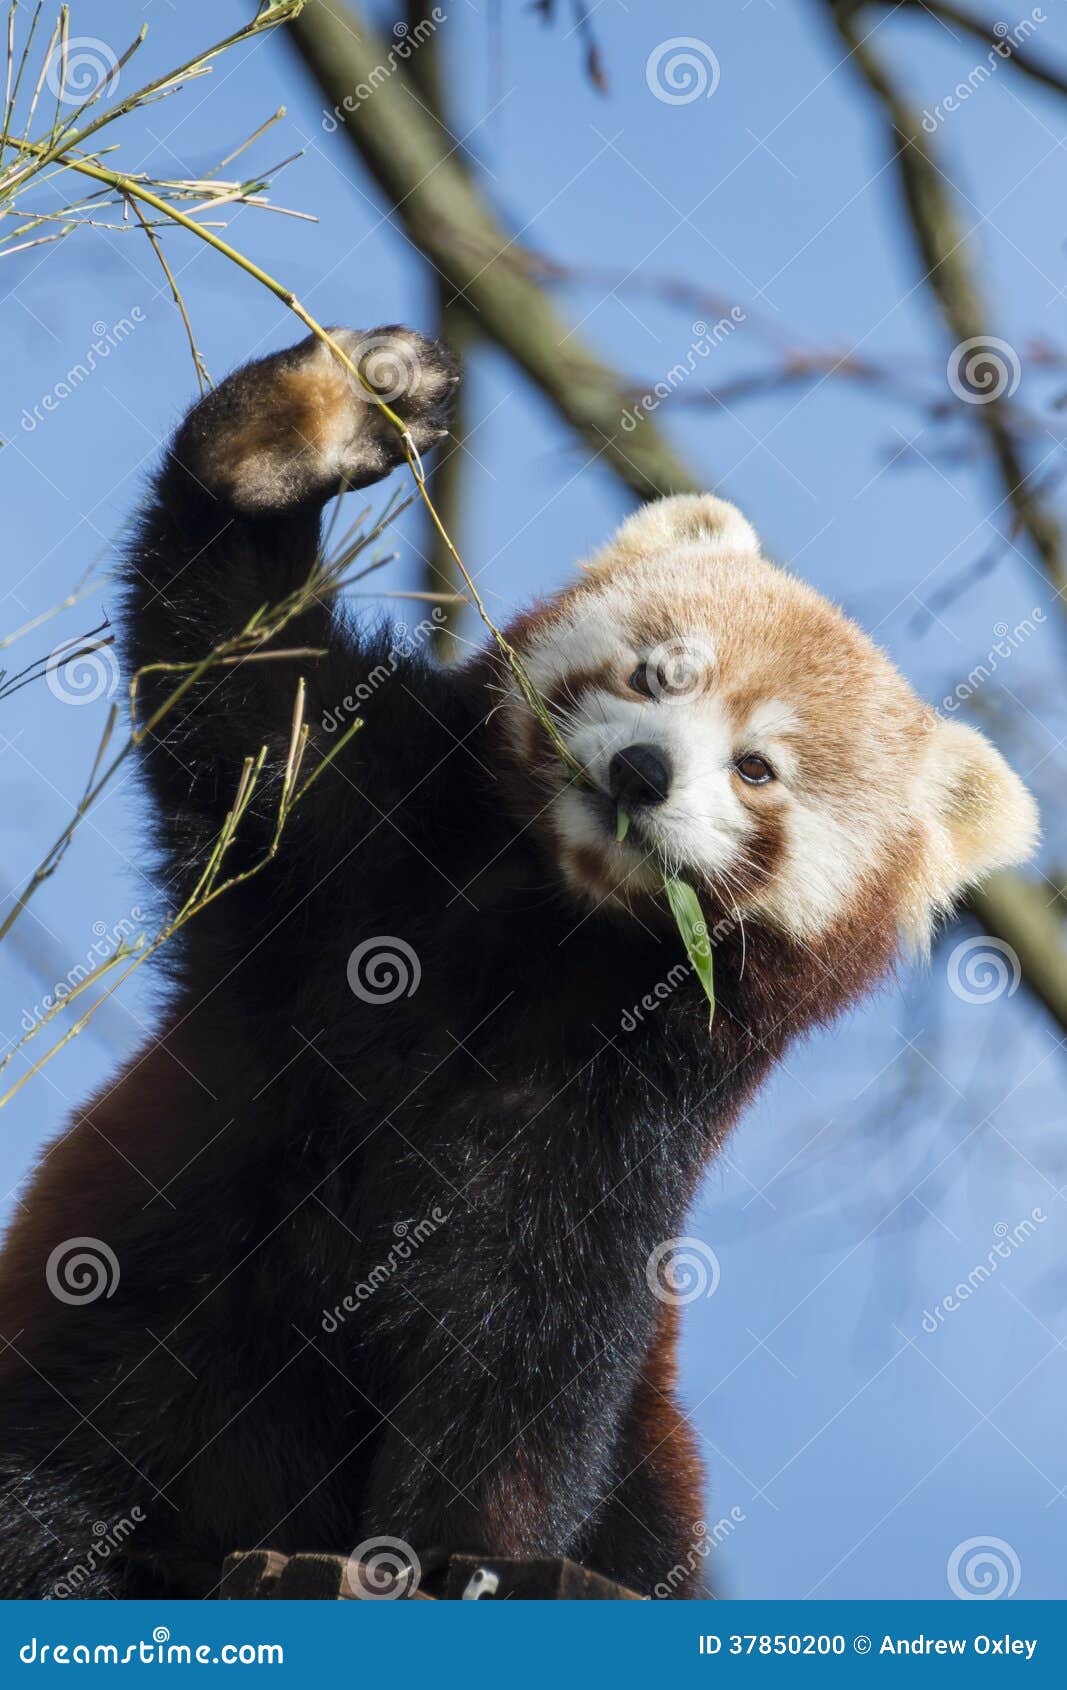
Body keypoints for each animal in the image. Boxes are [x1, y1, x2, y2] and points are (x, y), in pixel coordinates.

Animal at [0, 326, 1038, 1599]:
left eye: (755, 769)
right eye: (654, 676)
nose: (642, 771)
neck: (546, 929)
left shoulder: (607, 1143)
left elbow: (517, 1376)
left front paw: (451, 1555)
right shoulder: (349, 855)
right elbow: (238, 676)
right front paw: (297, 432)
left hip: (647, 1450)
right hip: (127, 1317)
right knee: (67, 1462)